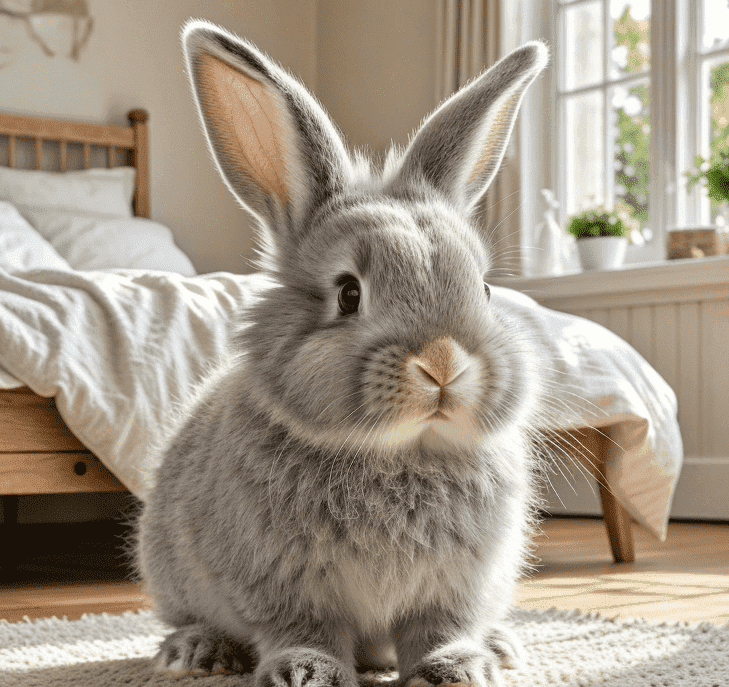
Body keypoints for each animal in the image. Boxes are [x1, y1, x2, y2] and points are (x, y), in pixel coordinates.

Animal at [136, 18, 548, 687]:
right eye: (349, 293)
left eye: (484, 289)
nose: (443, 362)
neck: (399, 455)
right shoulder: (284, 585)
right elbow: (303, 630)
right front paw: (306, 673)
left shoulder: (453, 589)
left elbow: (440, 629)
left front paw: (459, 668)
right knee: (187, 619)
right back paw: (196, 652)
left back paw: (501, 645)